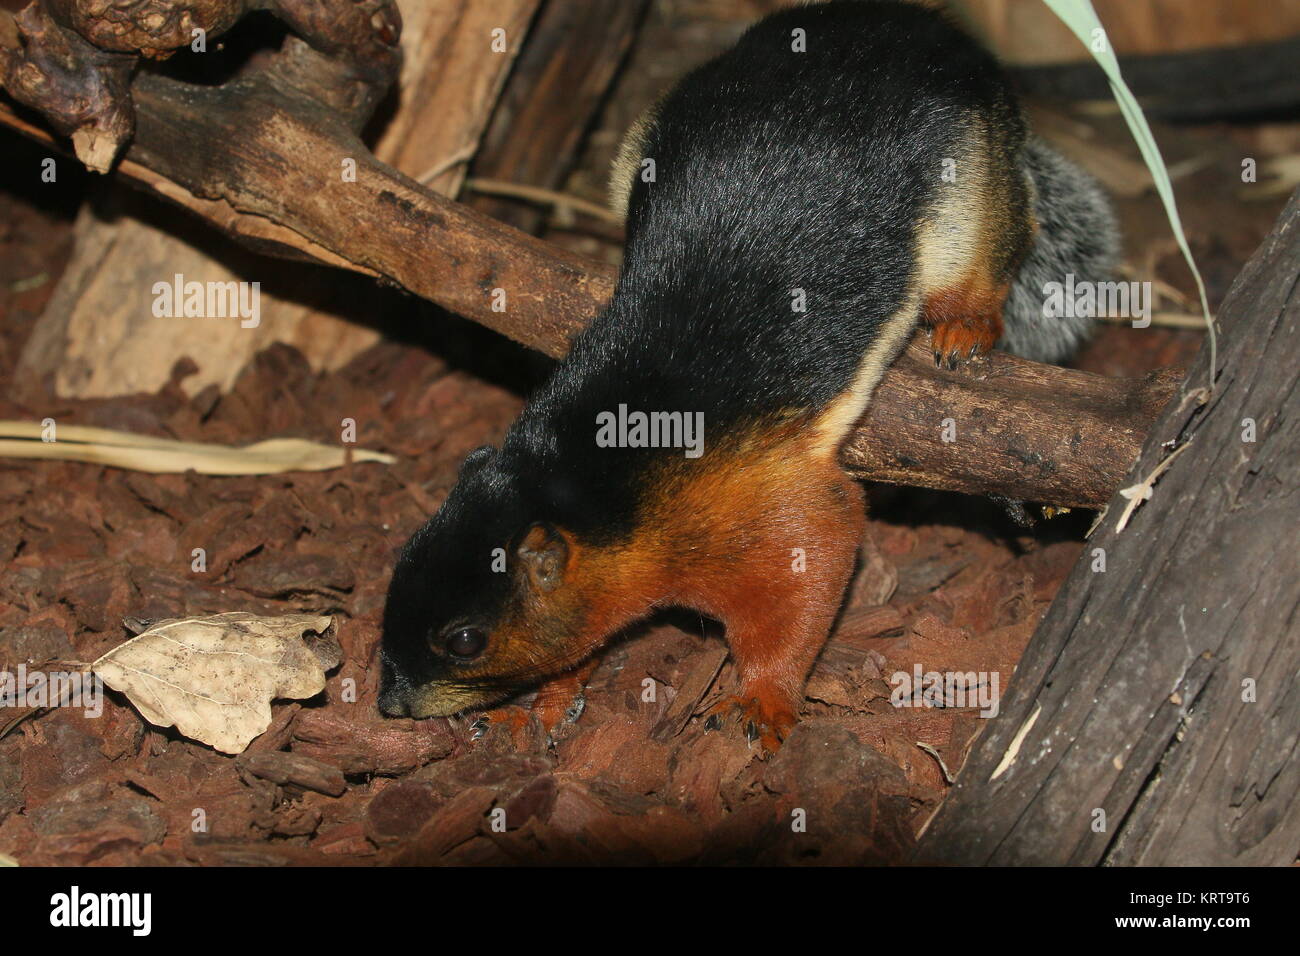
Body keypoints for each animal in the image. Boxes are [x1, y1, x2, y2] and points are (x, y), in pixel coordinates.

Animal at [379, 0, 1119, 750]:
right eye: (396, 573)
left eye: (465, 640)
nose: (389, 702)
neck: (598, 486)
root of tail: (924, 28)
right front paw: (546, 705)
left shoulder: (766, 503)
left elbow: (806, 574)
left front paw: (762, 703)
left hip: (969, 189)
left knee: (1004, 241)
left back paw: (964, 325)